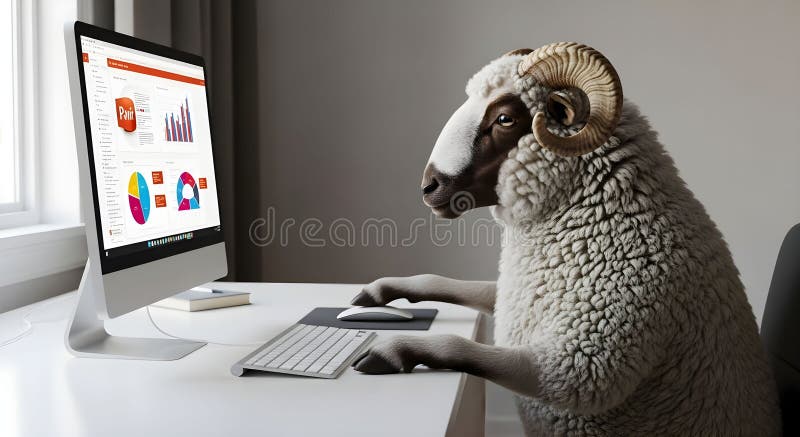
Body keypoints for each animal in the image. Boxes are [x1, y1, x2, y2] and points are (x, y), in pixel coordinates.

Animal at [350, 42, 782, 435]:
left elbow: (463, 347)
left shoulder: (582, 362)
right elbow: (445, 282)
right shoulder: (516, 294)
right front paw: (379, 290)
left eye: (505, 118)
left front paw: (393, 349)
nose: (429, 187)